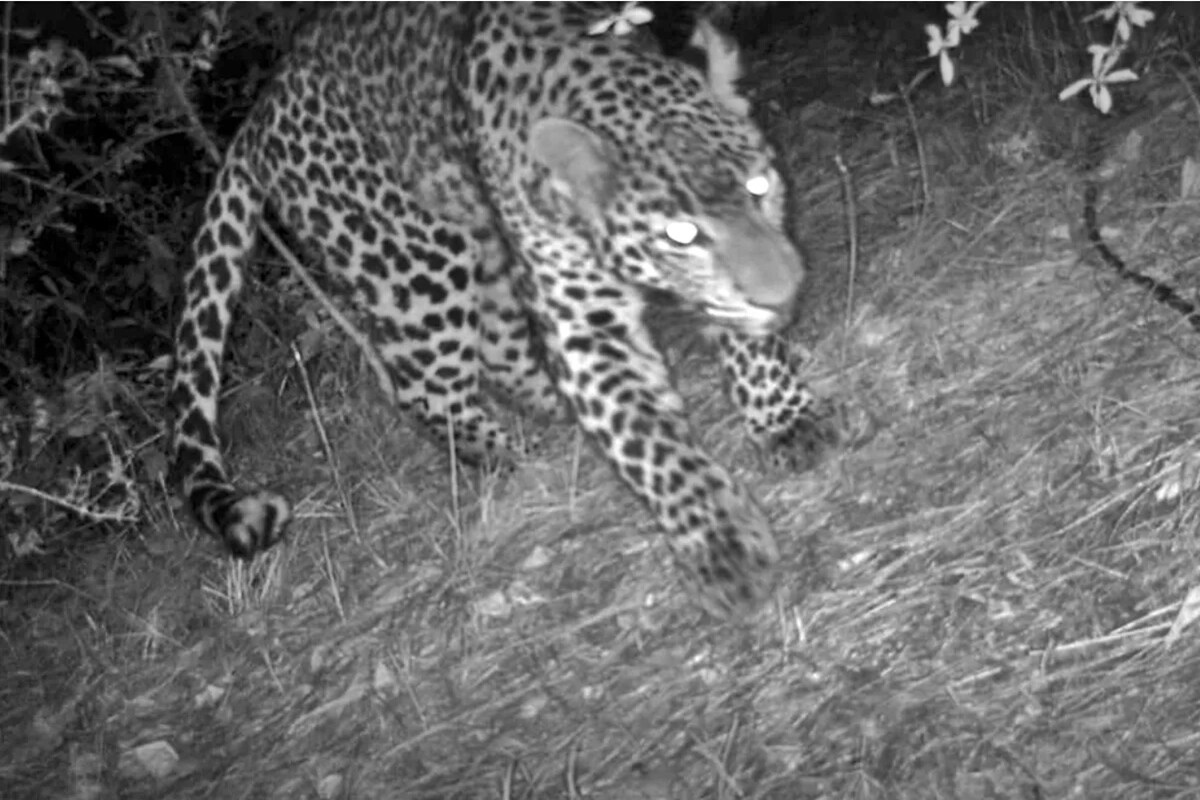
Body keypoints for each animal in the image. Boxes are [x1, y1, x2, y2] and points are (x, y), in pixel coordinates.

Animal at [169, 1, 839, 618]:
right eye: (681, 233)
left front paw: (785, 420)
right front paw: (723, 552)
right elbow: (647, 443)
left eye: (759, 187)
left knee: (497, 347)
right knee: (422, 385)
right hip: (420, 258)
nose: (783, 292)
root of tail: (261, 110)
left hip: (481, 247)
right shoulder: (583, 322)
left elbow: (747, 347)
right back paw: (506, 455)